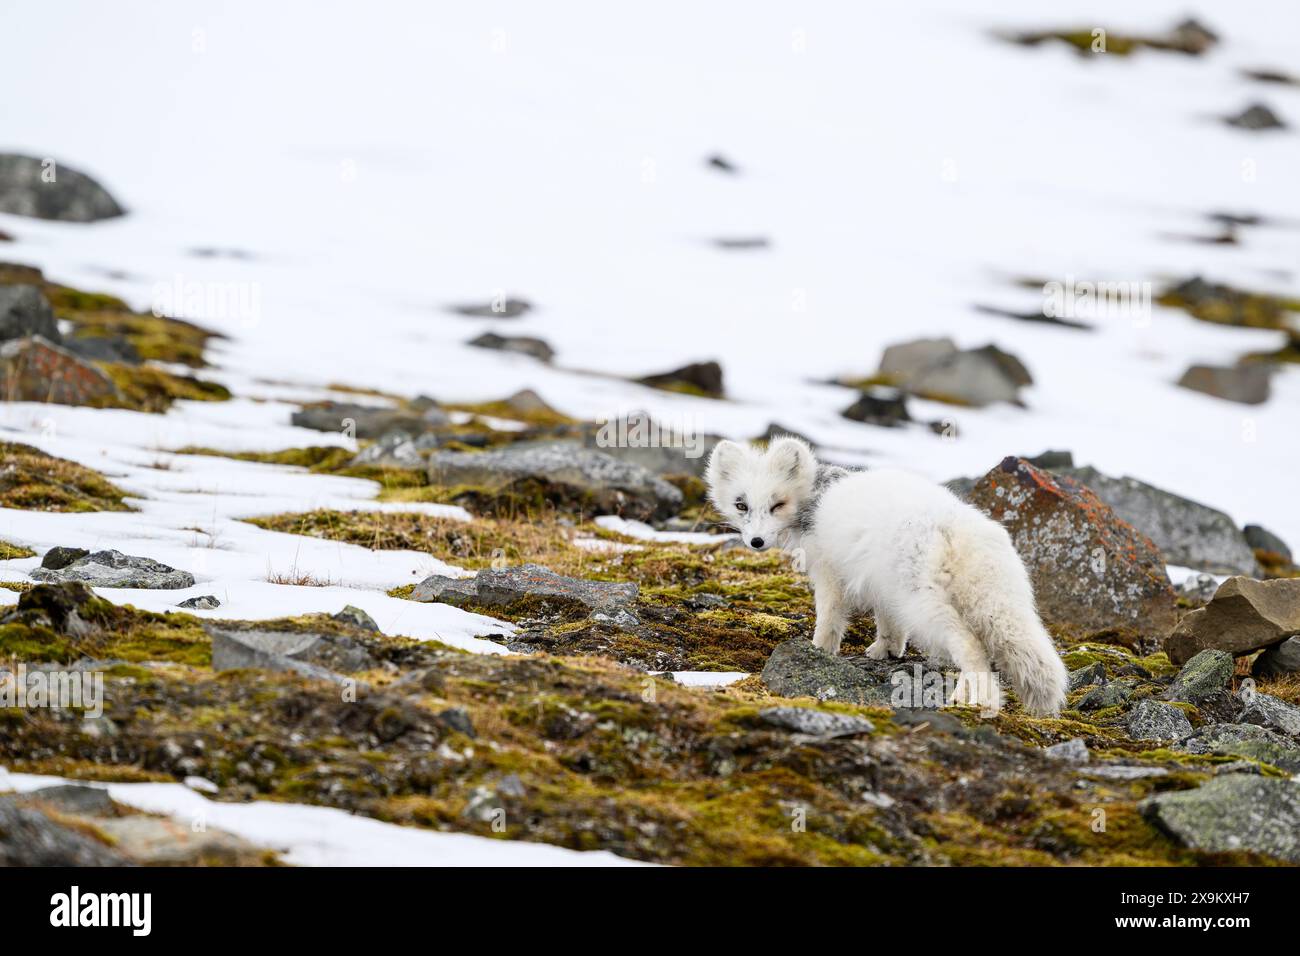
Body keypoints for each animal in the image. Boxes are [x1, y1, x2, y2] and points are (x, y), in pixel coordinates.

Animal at [706, 436, 1068, 716]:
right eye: (741, 505)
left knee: (972, 648)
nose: (756, 542)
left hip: (923, 601)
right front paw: (886, 650)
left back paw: (977, 701)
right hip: (990, 598)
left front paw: (819, 651)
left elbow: (830, 618)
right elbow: (890, 622)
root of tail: (954, 528)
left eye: (777, 504)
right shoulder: (880, 581)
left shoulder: (830, 572)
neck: (815, 495)